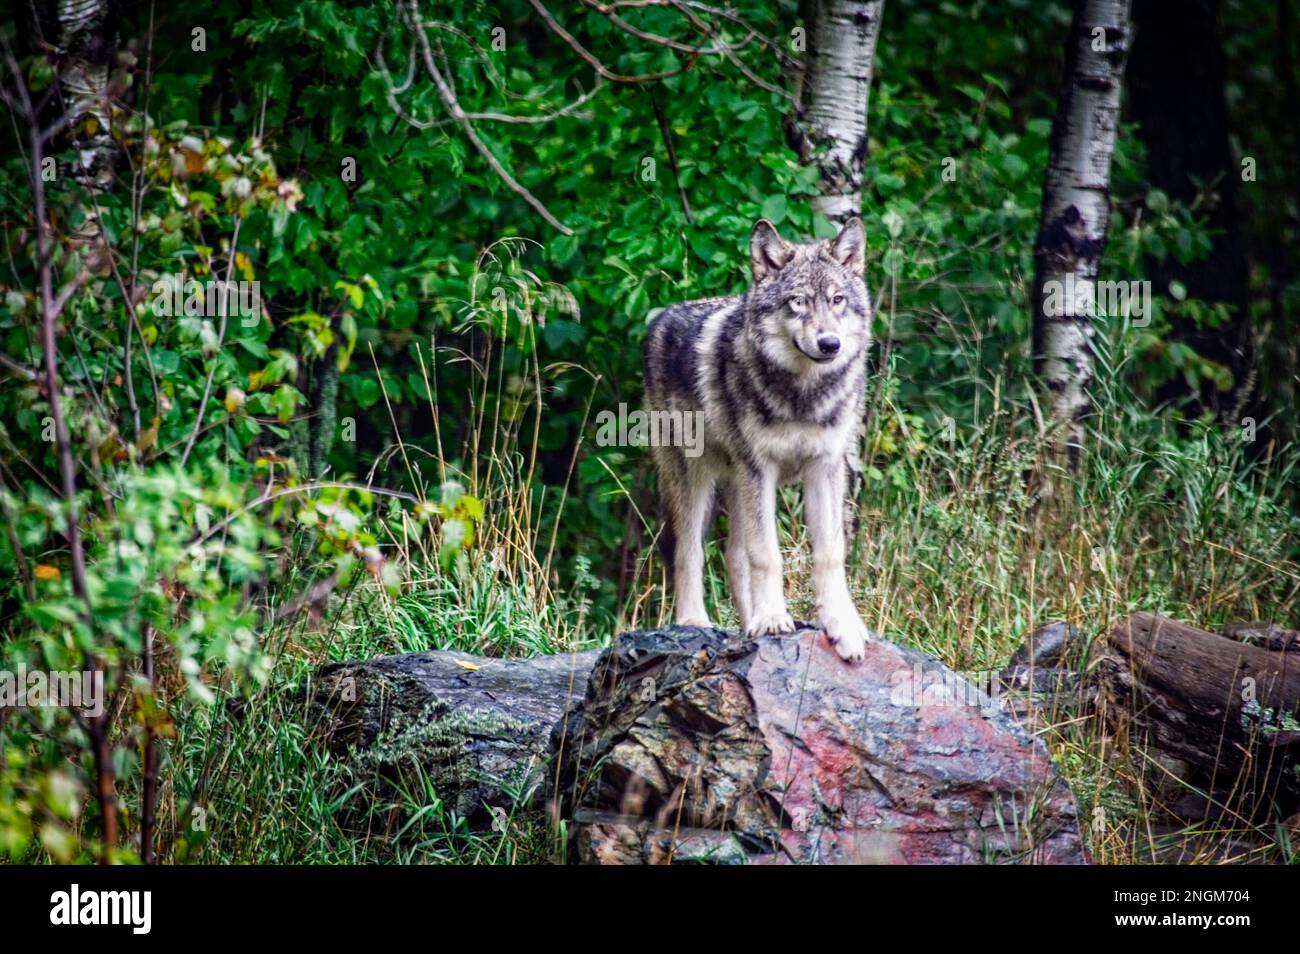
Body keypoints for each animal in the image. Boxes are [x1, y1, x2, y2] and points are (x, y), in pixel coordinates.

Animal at [643, 216, 873, 662]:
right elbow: (767, 554)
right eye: (798, 302)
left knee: (735, 555)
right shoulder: (759, 469)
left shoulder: (825, 469)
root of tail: (661, 316)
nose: (830, 344)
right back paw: (695, 620)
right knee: (689, 551)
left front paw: (843, 627)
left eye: (837, 300)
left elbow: (829, 555)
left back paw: (749, 624)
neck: (803, 396)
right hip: (695, 479)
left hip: (735, 484)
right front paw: (772, 619)